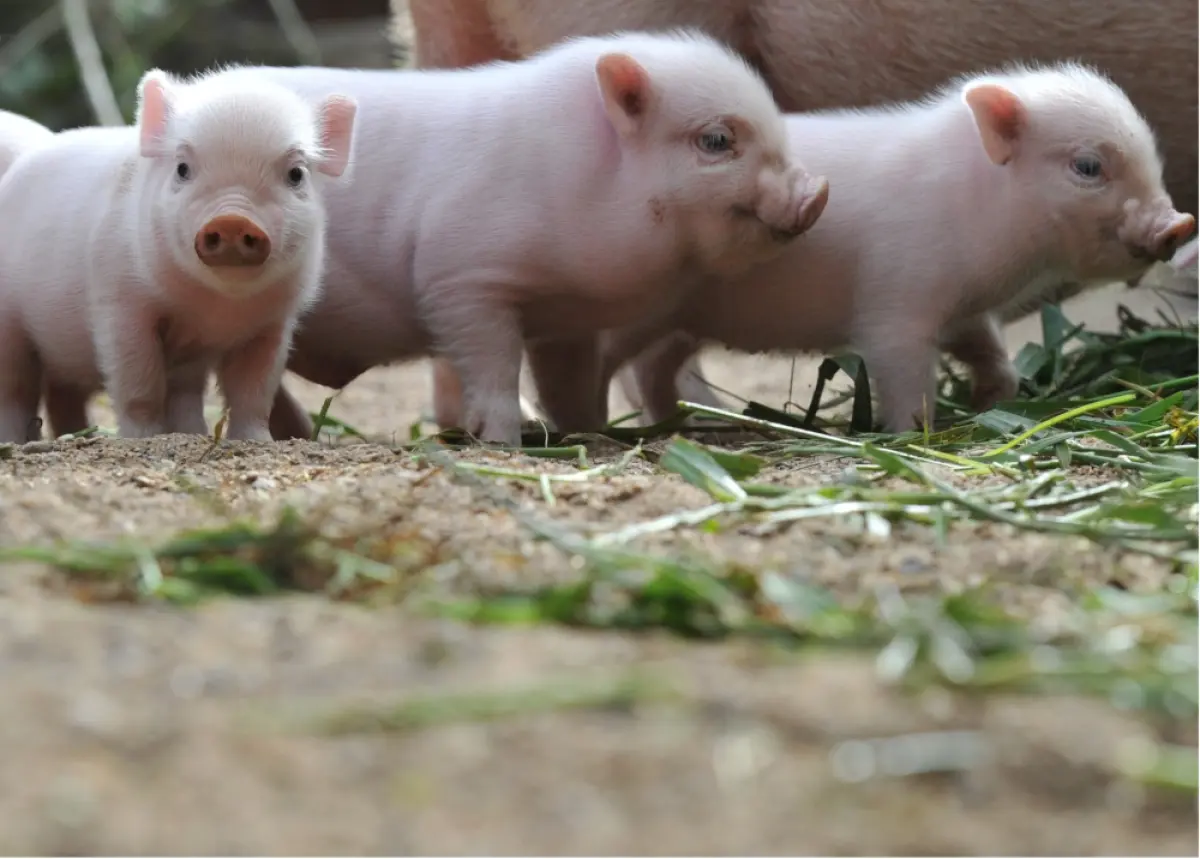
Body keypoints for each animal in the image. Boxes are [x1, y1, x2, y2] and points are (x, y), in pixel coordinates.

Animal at [0, 68, 357, 444]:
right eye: (182, 169)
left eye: (296, 174)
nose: (232, 219)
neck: (215, 308)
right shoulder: (121, 303)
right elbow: (139, 383)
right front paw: (144, 439)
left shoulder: (272, 322)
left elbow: (254, 391)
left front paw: (255, 442)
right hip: (9, 325)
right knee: (14, 390)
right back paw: (15, 441)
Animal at [250, 30, 829, 446]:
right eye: (716, 140)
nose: (818, 192)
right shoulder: (460, 278)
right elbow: (495, 370)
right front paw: (505, 441)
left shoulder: (567, 319)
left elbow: (568, 385)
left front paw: (590, 434)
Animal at [532, 62, 1195, 433]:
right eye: (1089, 166)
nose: (1179, 224)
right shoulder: (897, 303)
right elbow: (902, 371)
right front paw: (912, 432)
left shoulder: (964, 308)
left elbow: (991, 352)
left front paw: (992, 397)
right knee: (598, 363)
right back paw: (586, 427)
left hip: (681, 322)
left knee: (650, 369)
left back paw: (684, 421)